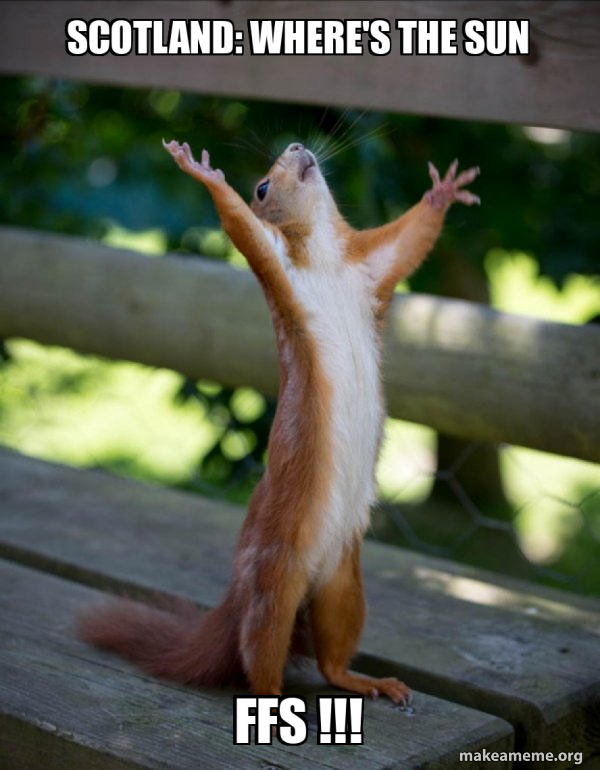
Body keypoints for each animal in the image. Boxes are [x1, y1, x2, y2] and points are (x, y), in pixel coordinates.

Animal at [77, 138, 479, 706]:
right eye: (262, 187)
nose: (296, 146)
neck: (327, 258)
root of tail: (238, 595)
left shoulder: (372, 267)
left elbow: (410, 239)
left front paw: (442, 192)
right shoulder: (277, 264)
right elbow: (240, 226)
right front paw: (203, 173)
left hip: (344, 585)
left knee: (332, 658)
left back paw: (367, 680)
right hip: (274, 583)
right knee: (259, 658)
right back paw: (274, 699)